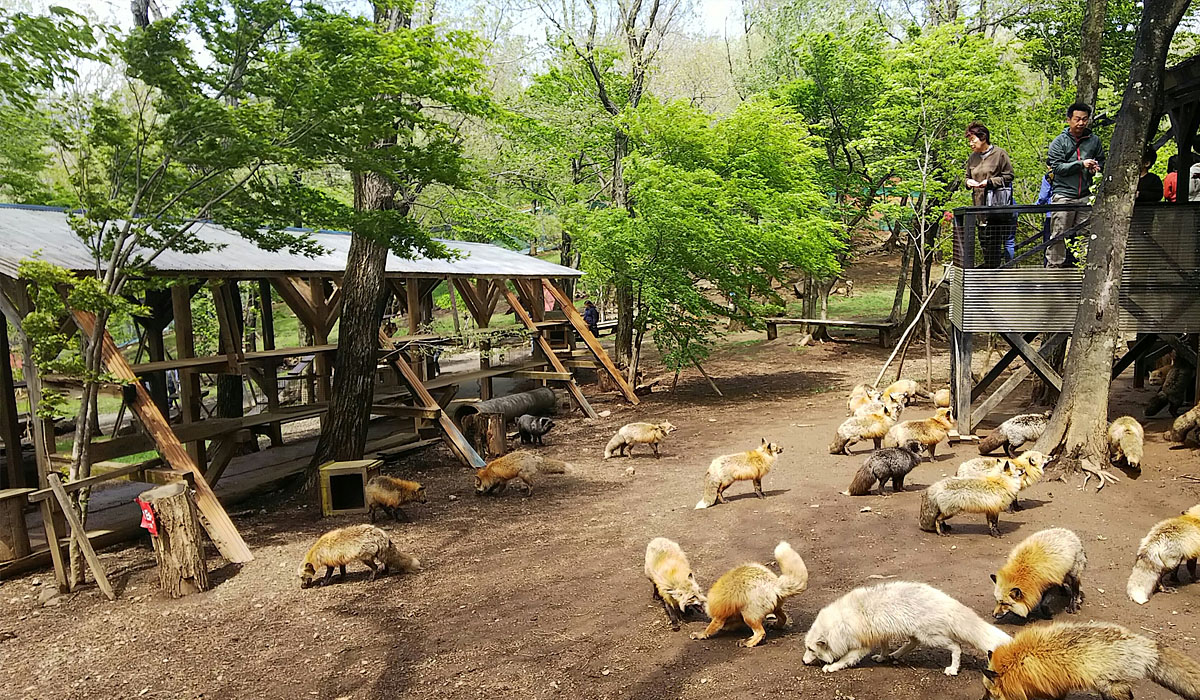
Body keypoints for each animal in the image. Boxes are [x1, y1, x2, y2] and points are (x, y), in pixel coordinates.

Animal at [803, 581, 1010, 676]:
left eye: (811, 649)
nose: (803, 662)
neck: (840, 623)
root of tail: (947, 601)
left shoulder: (861, 646)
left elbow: (845, 659)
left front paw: (832, 667)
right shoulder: (881, 633)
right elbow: (884, 647)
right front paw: (883, 656)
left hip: (930, 637)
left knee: (956, 646)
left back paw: (953, 668)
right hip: (917, 633)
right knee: (912, 643)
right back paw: (896, 655)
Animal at [982, 621, 1200, 700]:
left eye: (988, 692)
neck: (1016, 660)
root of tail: (1147, 645)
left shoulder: (1045, 685)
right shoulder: (1058, 684)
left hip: (1109, 687)